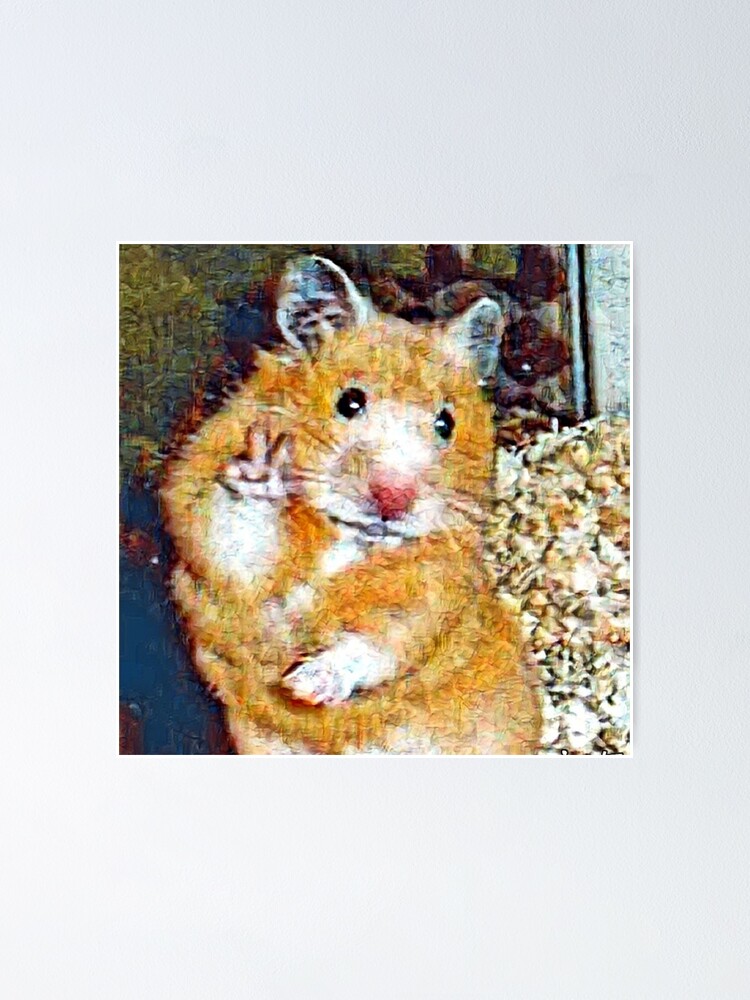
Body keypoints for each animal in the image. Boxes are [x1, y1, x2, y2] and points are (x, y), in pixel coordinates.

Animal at [161, 255, 541, 754]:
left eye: (446, 423)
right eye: (350, 402)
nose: (393, 500)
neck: (349, 540)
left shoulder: (429, 600)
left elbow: (376, 645)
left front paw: (305, 686)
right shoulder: (220, 556)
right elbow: (242, 538)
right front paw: (264, 467)